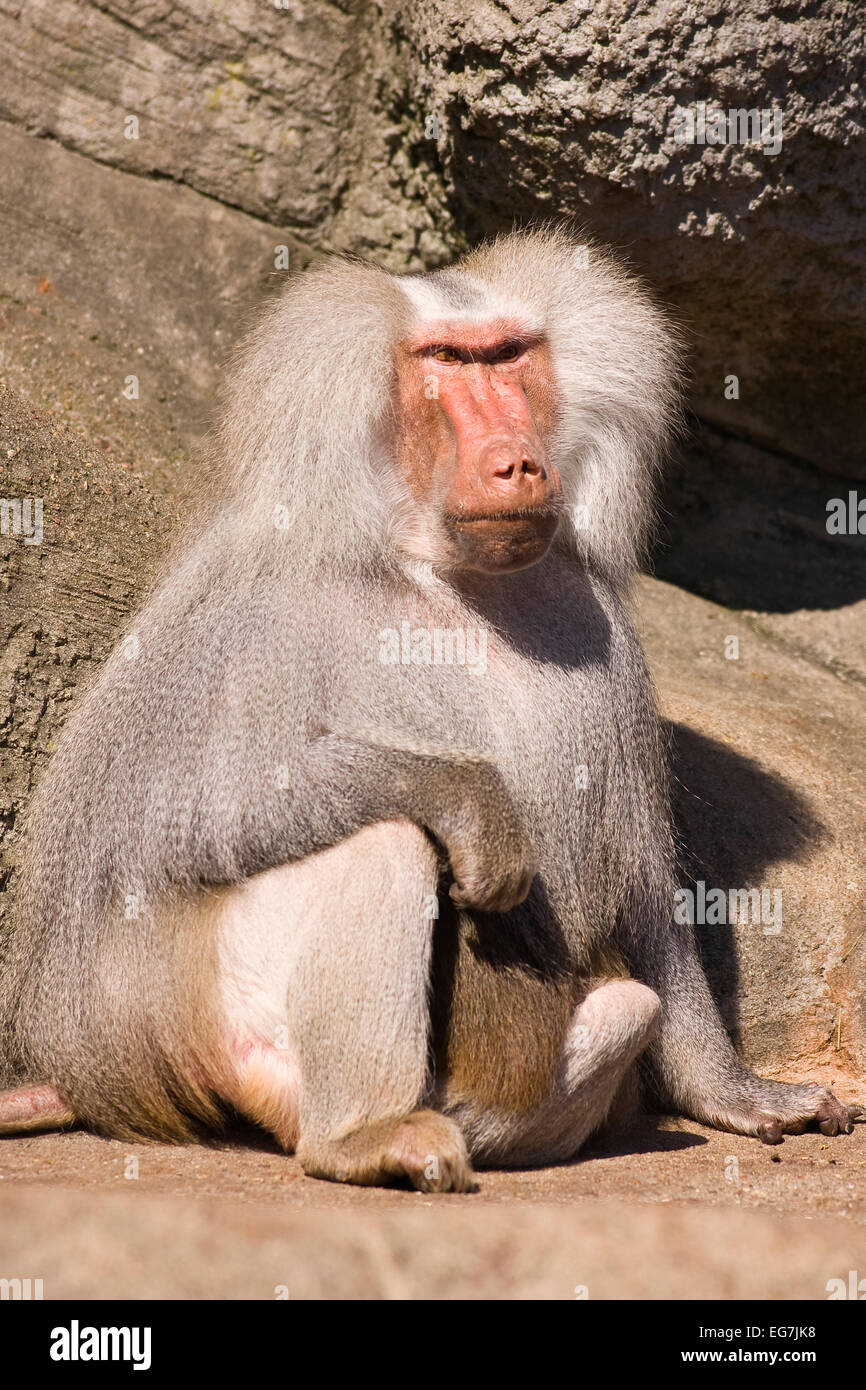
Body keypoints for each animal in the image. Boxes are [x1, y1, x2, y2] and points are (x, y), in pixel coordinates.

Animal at [0, 228, 862, 1192]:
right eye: (445, 362)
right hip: (177, 1019)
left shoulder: (596, 623)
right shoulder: (265, 611)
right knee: (382, 840)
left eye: (509, 356)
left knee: (627, 1005)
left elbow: (643, 893)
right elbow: (196, 819)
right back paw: (366, 1136)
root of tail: (93, 1068)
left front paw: (736, 1095)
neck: (443, 573)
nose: (517, 461)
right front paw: (481, 810)